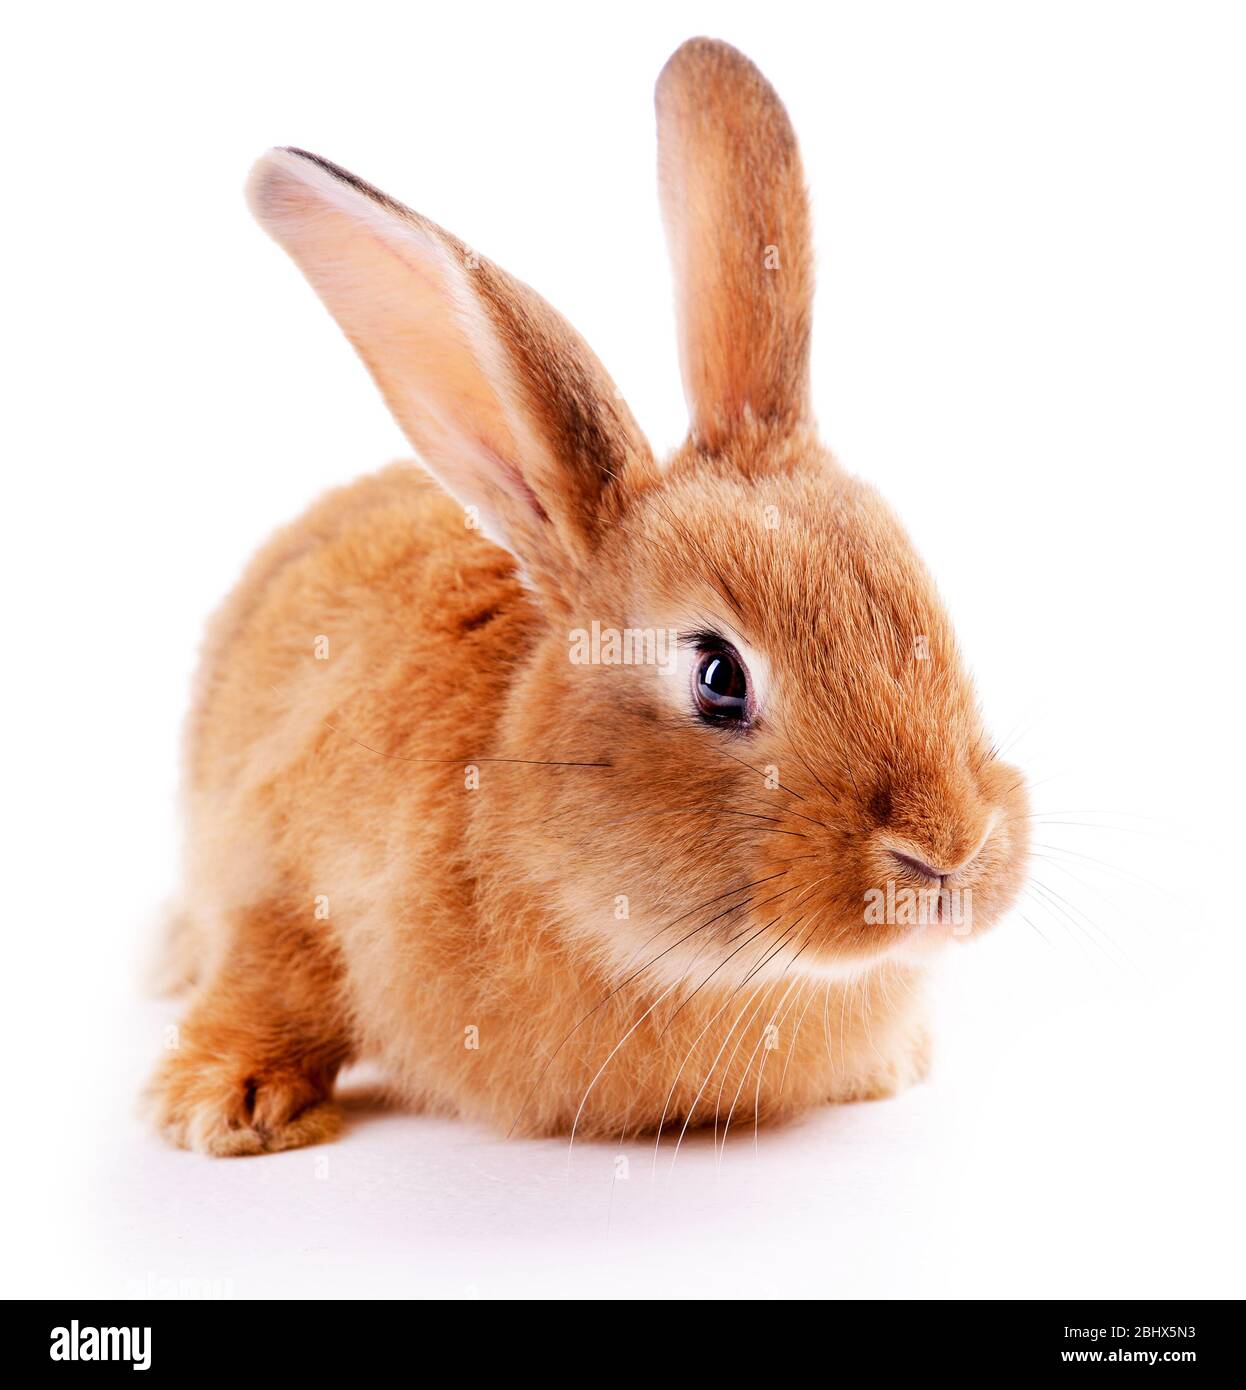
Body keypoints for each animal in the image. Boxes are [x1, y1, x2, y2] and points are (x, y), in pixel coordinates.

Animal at [147, 36, 1029, 1155]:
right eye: (717, 675)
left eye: (929, 611)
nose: (948, 853)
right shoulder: (281, 871)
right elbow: (273, 972)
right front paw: (227, 1103)